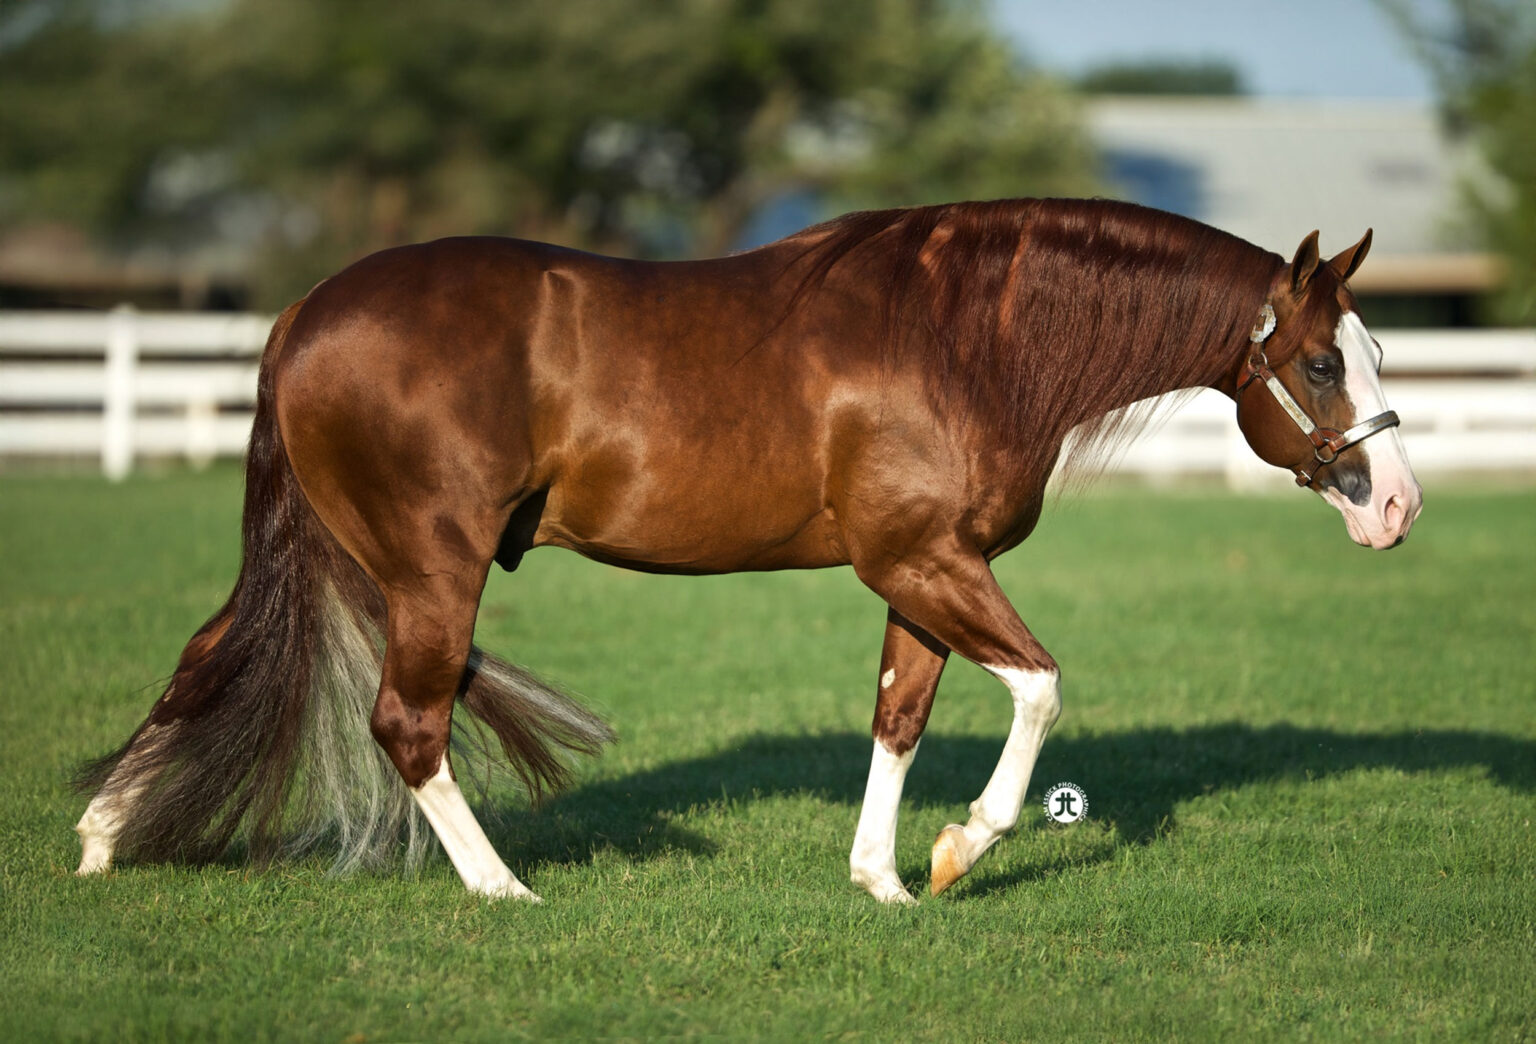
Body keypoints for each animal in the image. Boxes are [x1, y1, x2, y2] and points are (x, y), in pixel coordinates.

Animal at [73, 198, 1422, 903]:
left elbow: (897, 718)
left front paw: (884, 879)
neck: (960, 340)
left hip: (327, 552)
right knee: (406, 724)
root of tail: (305, 312)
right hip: (429, 572)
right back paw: (504, 890)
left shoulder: (922, 575)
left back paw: (99, 838)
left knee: (209, 659)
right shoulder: (923, 564)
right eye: (1319, 363)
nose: (1398, 506)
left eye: (1375, 354)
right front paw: (959, 851)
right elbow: (1040, 688)